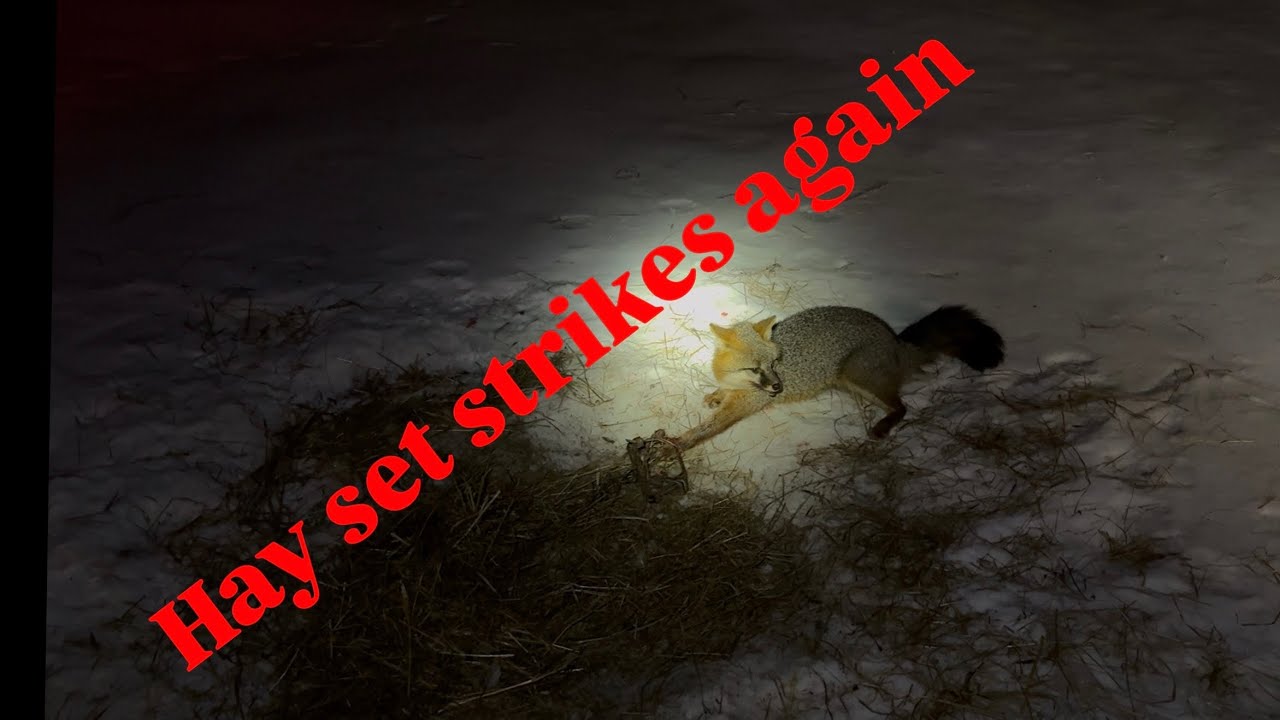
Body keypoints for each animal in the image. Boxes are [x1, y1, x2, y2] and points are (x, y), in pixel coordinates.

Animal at [670, 305, 1005, 451]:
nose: (778, 386)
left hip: (859, 377)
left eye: (775, 363)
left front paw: (676, 444)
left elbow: (705, 430)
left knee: (902, 407)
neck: (736, 383)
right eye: (755, 369)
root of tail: (894, 340)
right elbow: (719, 395)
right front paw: (714, 395)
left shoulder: (745, 404)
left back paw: (882, 427)